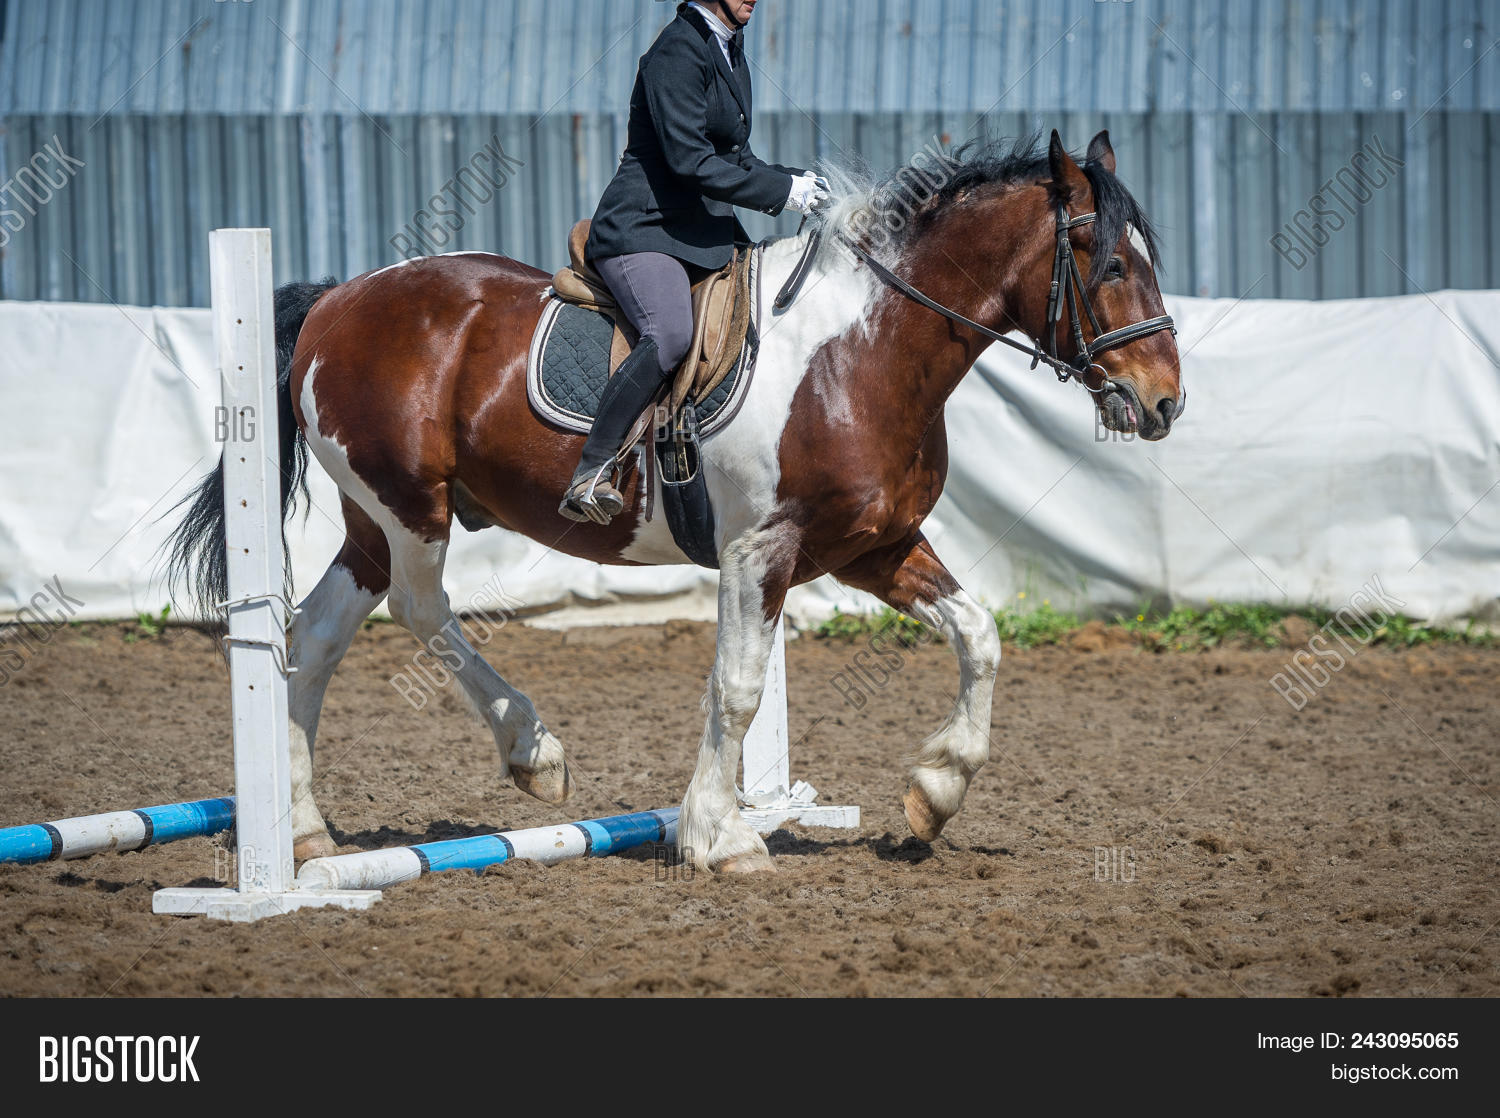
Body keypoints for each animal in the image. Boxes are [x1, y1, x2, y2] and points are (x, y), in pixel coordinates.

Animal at [167, 130, 1183, 874]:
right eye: (1107, 265)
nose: (1165, 402)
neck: (865, 351)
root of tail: (338, 300)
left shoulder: (875, 548)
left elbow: (979, 633)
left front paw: (937, 792)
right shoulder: (759, 551)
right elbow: (736, 688)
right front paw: (719, 837)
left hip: (372, 523)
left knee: (315, 639)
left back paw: (306, 836)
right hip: (411, 506)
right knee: (424, 609)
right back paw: (532, 752)